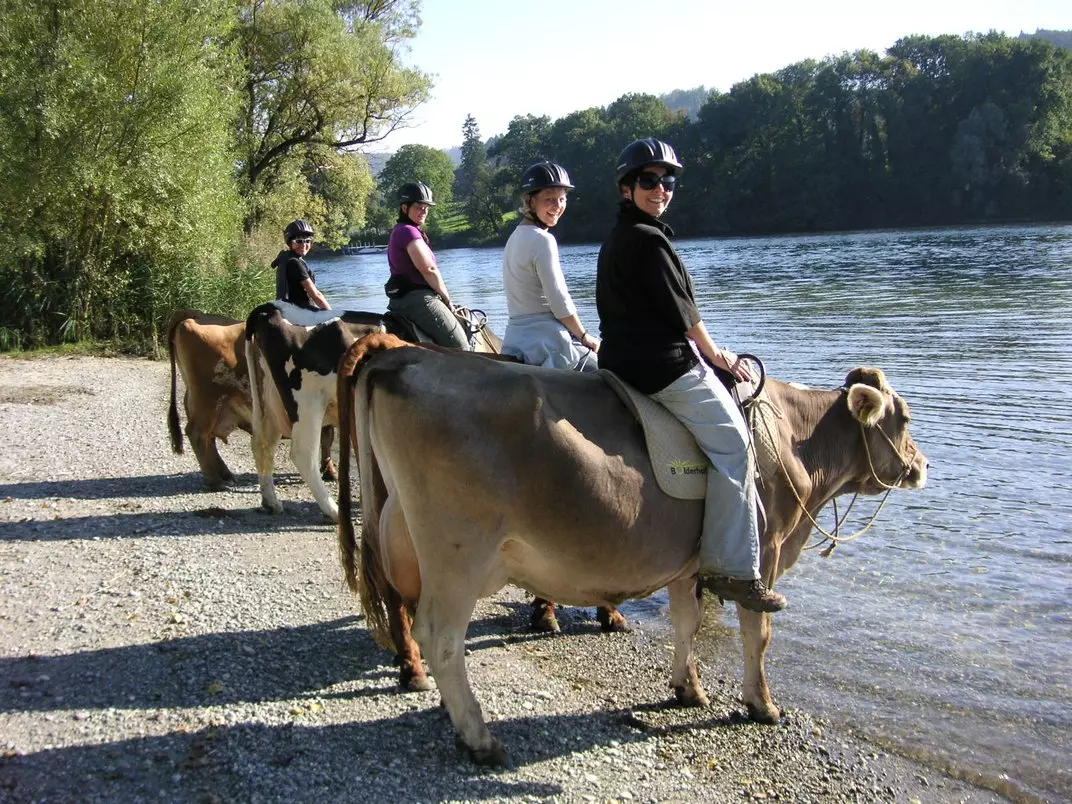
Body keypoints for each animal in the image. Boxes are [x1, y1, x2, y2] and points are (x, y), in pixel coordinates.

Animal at [336, 334, 930, 767]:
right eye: (904, 419)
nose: (921, 465)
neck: (794, 443)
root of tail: (400, 359)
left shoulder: (688, 563)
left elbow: (688, 622)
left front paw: (688, 689)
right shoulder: (764, 556)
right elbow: (758, 634)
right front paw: (762, 704)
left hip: (404, 535)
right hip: (457, 552)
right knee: (441, 635)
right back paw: (479, 737)